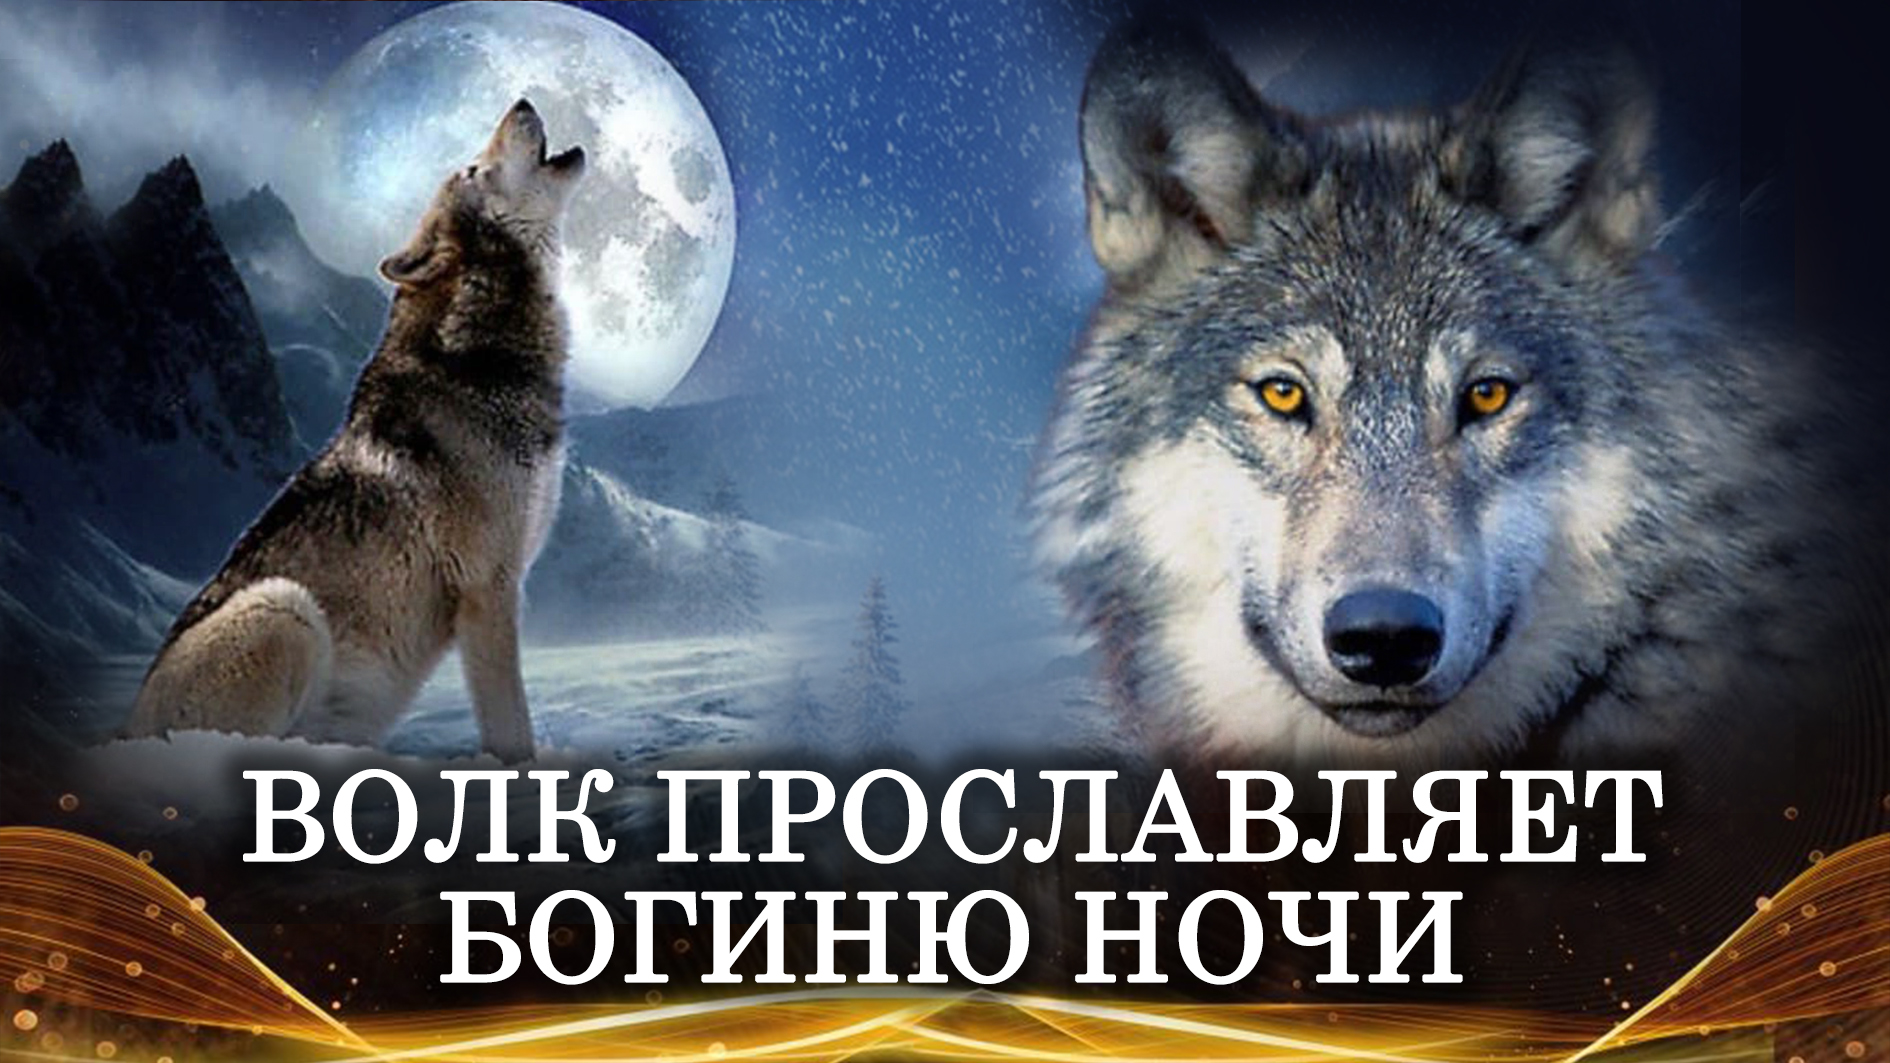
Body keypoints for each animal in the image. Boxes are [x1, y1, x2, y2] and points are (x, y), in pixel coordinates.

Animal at [123, 100, 585, 763]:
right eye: (473, 169)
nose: (521, 101)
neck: (480, 358)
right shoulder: (488, 591)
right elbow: (511, 727)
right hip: (284, 608)